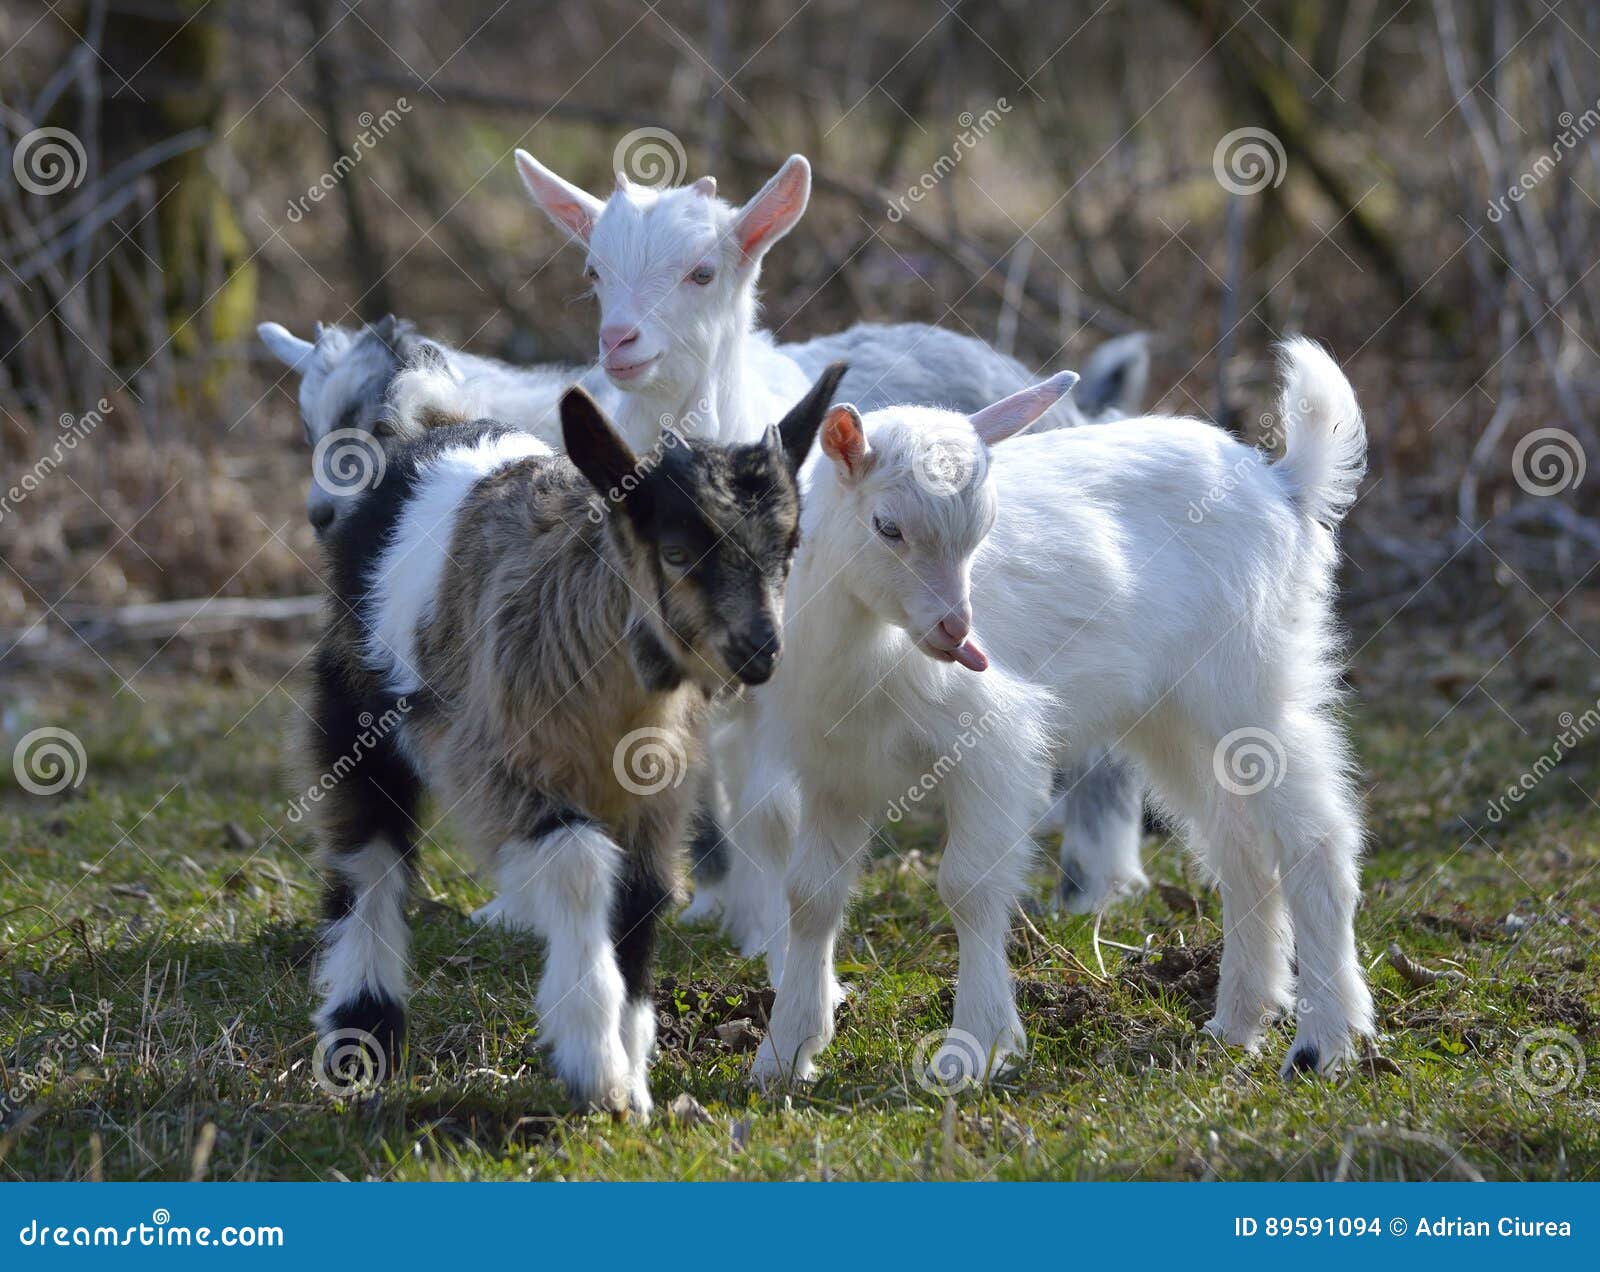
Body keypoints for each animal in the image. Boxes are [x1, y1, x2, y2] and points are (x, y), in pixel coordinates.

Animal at [303, 363, 844, 1116]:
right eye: (676, 551)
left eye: (788, 549)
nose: (761, 653)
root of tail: (435, 427)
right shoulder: (501, 760)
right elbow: (581, 866)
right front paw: (594, 1061)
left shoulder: (660, 795)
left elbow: (642, 897)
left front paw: (633, 1077)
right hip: (357, 706)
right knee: (367, 857)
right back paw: (362, 1033)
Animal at [747, 339, 1375, 1087]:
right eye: (887, 528)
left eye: (984, 529)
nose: (959, 634)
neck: (870, 645)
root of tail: (1283, 484)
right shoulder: (832, 768)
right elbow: (810, 896)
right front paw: (783, 1055)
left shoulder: (993, 744)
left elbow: (968, 885)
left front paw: (975, 1050)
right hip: (1171, 717)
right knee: (1241, 848)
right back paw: (1237, 1022)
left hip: (1253, 682)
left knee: (1316, 837)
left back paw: (1323, 1043)